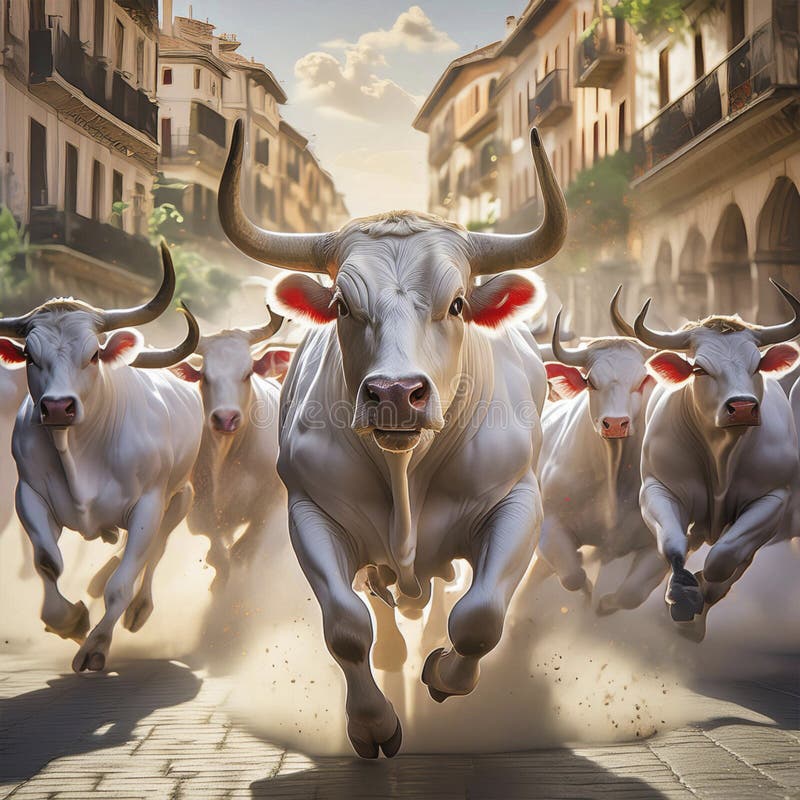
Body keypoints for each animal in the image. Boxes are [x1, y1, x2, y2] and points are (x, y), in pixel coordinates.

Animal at [0, 243, 203, 672]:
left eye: (93, 354)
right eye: (30, 357)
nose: (57, 407)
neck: (80, 451)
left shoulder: (148, 507)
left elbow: (121, 584)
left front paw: (96, 645)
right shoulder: (28, 496)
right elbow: (48, 561)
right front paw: (69, 620)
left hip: (180, 499)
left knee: (154, 553)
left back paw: (140, 609)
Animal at [171, 311, 291, 586]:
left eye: (247, 373)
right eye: (204, 376)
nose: (226, 418)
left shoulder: (271, 506)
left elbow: (241, 551)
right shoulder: (201, 511)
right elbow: (218, 553)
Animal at [217, 119, 567, 757]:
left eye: (457, 304)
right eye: (341, 304)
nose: (398, 393)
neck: (406, 470)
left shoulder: (518, 502)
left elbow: (479, 617)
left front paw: (443, 675)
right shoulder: (310, 512)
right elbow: (346, 627)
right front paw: (373, 723)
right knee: (381, 603)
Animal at [530, 289, 665, 614]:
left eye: (641, 381)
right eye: (590, 381)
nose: (614, 423)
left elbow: (631, 593)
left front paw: (605, 604)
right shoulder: (550, 527)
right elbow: (573, 576)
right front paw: (588, 593)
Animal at [617, 281, 800, 640]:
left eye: (756, 365)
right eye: (700, 368)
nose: (742, 407)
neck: (721, 457)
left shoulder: (774, 499)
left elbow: (724, 558)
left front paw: (700, 594)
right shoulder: (657, 490)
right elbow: (673, 544)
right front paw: (681, 595)